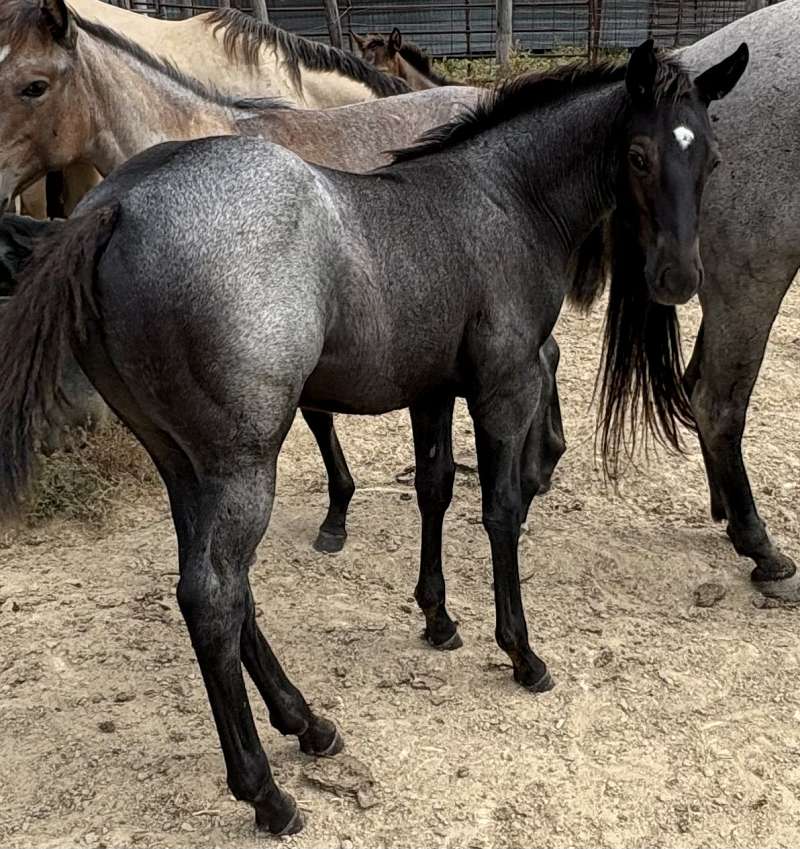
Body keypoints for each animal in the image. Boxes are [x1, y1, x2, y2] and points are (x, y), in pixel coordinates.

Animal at [0, 40, 747, 832]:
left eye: (713, 157)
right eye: (638, 154)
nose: (678, 278)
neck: (505, 197)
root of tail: (117, 203)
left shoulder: (431, 390)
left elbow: (435, 489)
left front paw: (438, 618)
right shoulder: (504, 386)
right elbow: (501, 512)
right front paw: (522, 653)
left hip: (182, 462)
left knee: (223, 590)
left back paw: (307, 723)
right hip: (241, 463)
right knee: (213, 597)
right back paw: (266, 791)